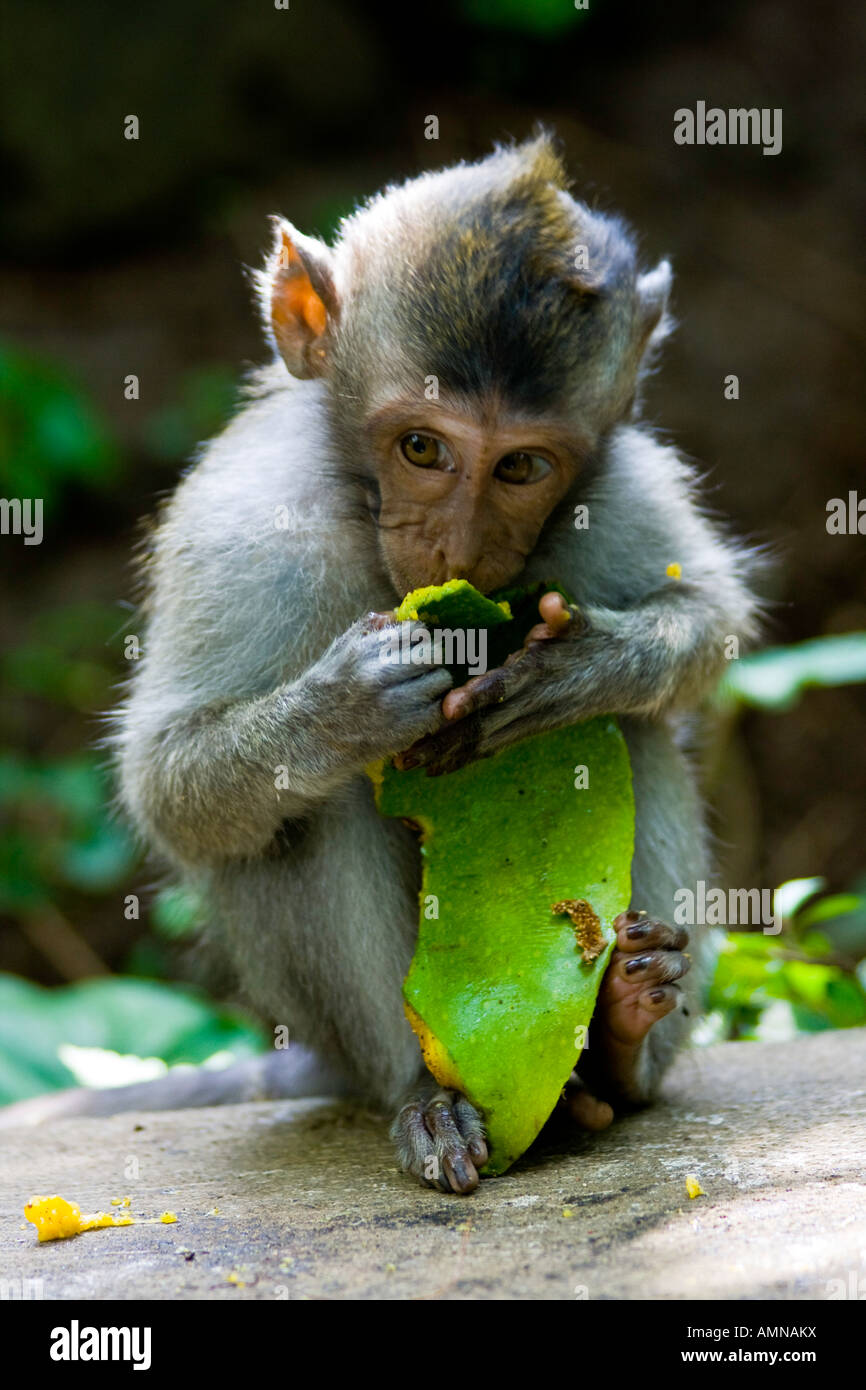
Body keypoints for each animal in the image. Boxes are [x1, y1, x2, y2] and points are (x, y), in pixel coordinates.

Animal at [0, 134, 759, 1193]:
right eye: (422, 448)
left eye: (521, 468)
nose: (458, 547)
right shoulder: (242, 527)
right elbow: (168, 782)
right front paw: (346, 707)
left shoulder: (619, 481)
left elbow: (712, 615)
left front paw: (574, 670)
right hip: (331, 1029)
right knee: (313, 815)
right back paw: (425, 1094)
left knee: (636, 736)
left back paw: (618, 1039)